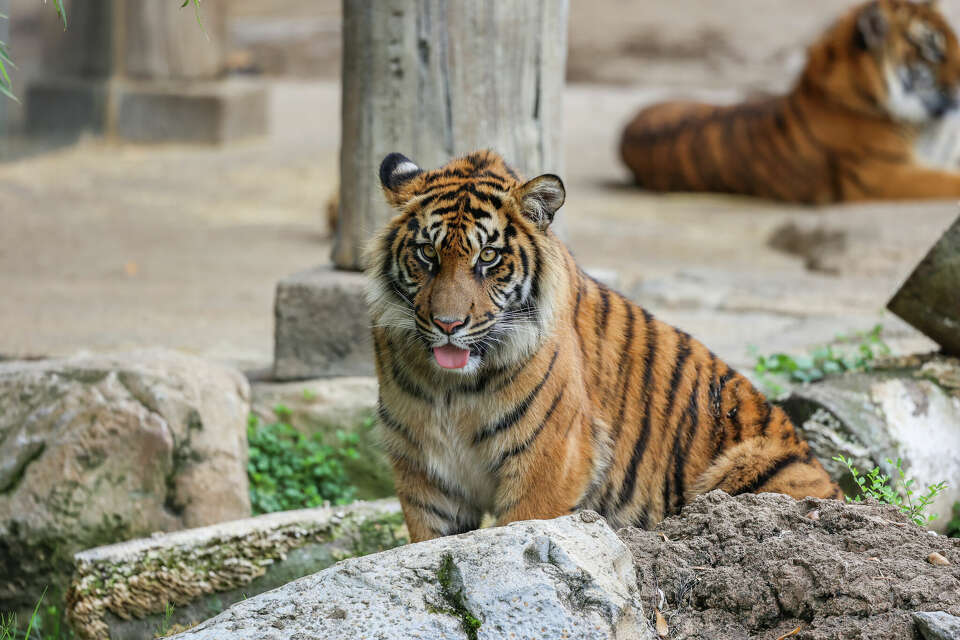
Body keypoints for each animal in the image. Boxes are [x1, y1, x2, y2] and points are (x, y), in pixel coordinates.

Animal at [365, 149, 840, 542]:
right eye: (427, 253)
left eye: (488, 257)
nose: (448, 324)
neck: (451, 390)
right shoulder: (424, 474)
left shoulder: (550, 463)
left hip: (754, 462)